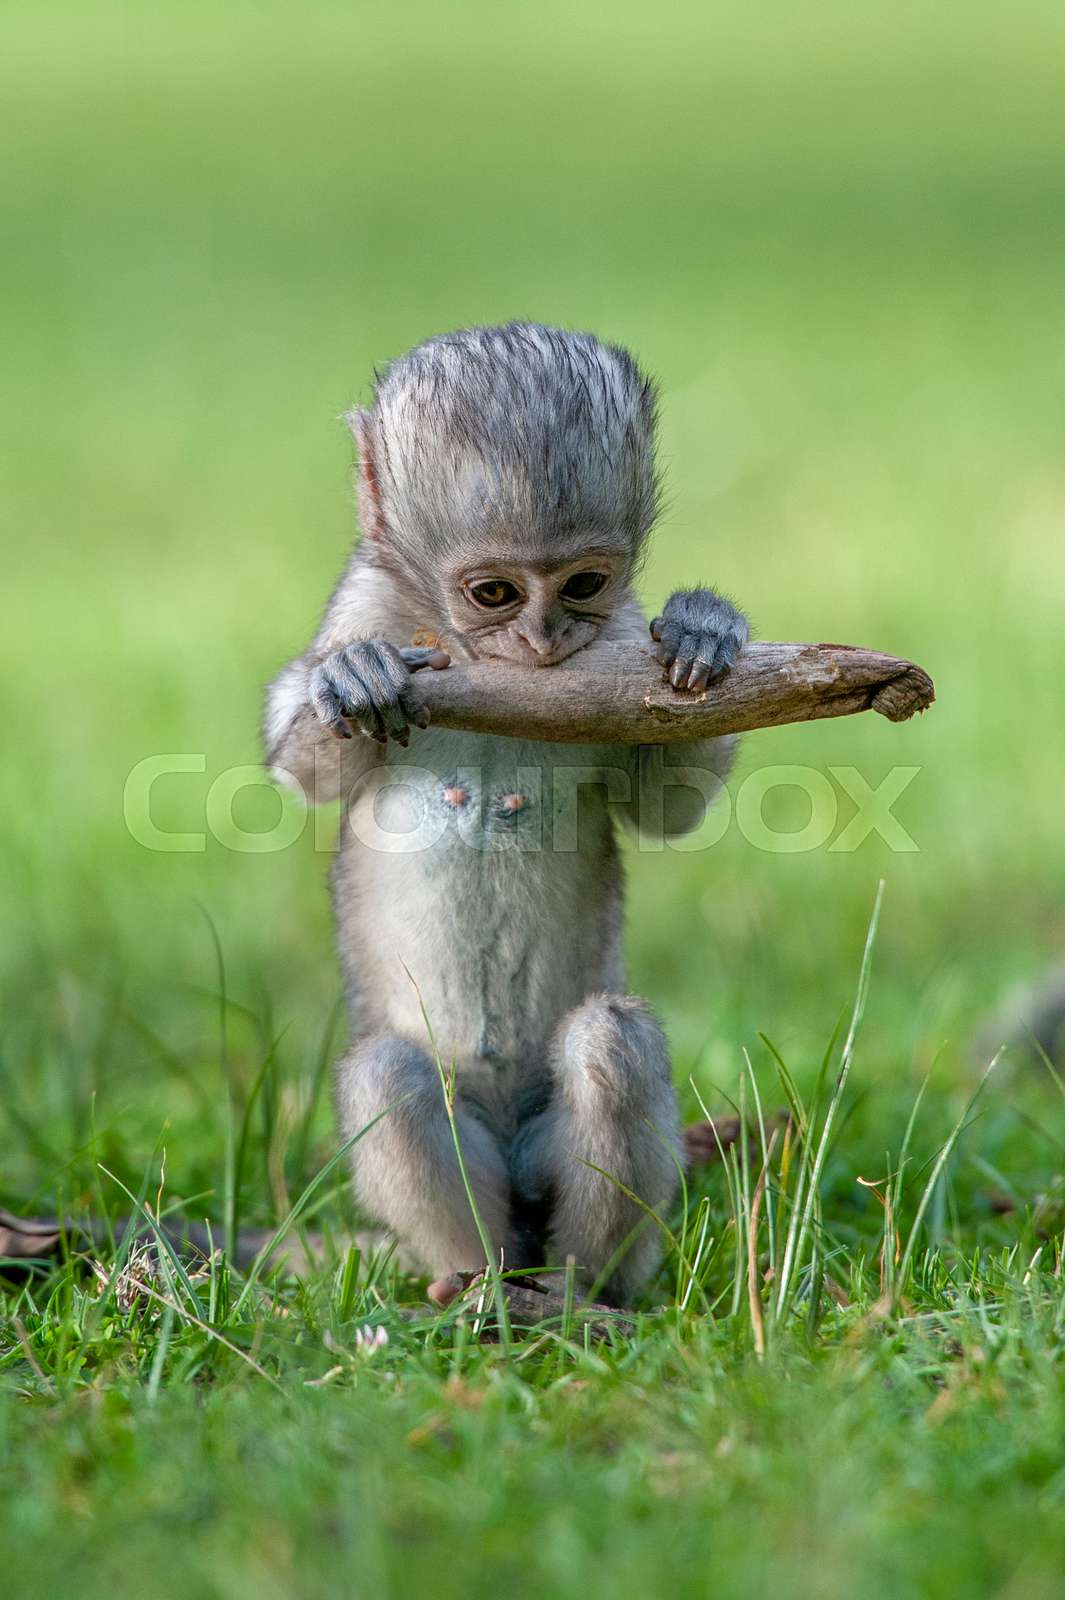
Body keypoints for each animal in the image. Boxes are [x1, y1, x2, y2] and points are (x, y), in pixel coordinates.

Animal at [263, 323, 748, 1307]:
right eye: (494, 594)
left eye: (583, 585)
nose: (541, 641)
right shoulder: (364, 599)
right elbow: (306, 766)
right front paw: (354, 677)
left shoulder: (618, 644)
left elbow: (663, 807)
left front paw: (704, 632)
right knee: (391, 1073)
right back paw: (476, 1285)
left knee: (613, 1039)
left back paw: (577, 1294)